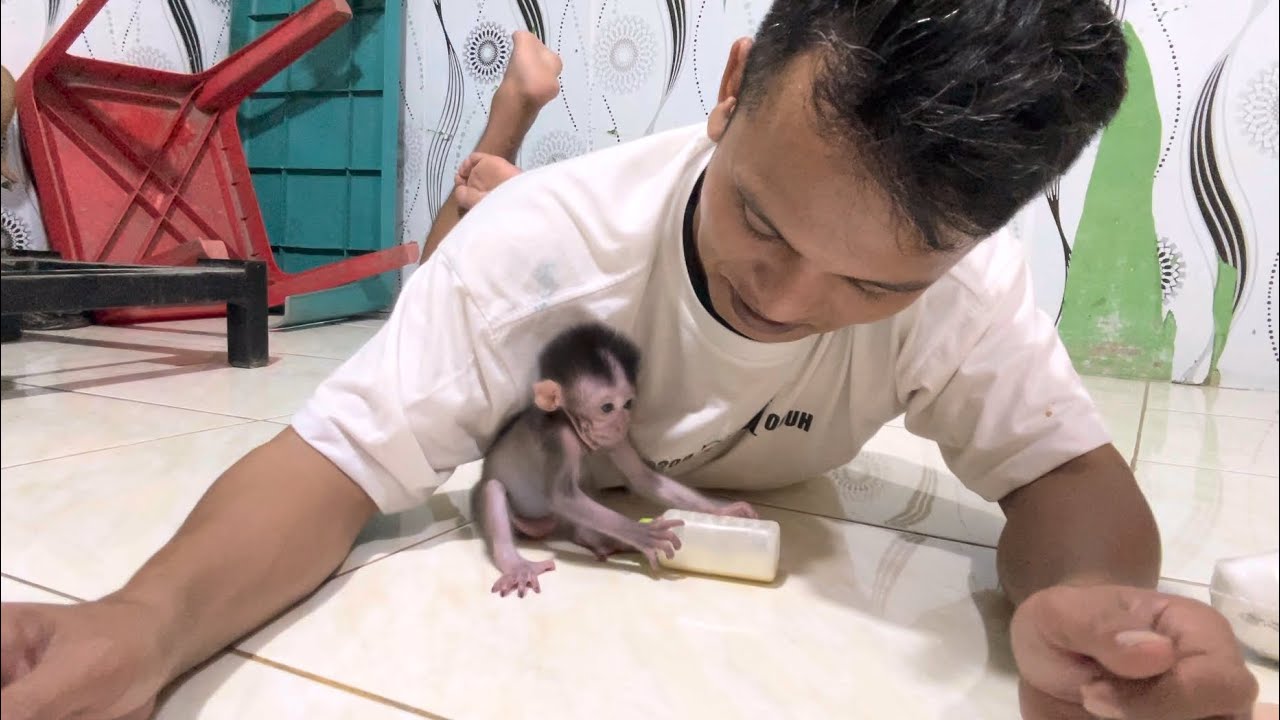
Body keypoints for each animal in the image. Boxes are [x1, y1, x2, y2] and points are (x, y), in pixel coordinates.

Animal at [474, 321, 759, 598]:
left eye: (628, 404)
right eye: (607, 407)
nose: (622, 424)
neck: (568, 423)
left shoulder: (615, 439)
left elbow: (641, 477)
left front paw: (723, 512)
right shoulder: (558, 440)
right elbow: (562, 496)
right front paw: (645, 534)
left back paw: (598, 539)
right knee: (494, 489)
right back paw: (517, 565)